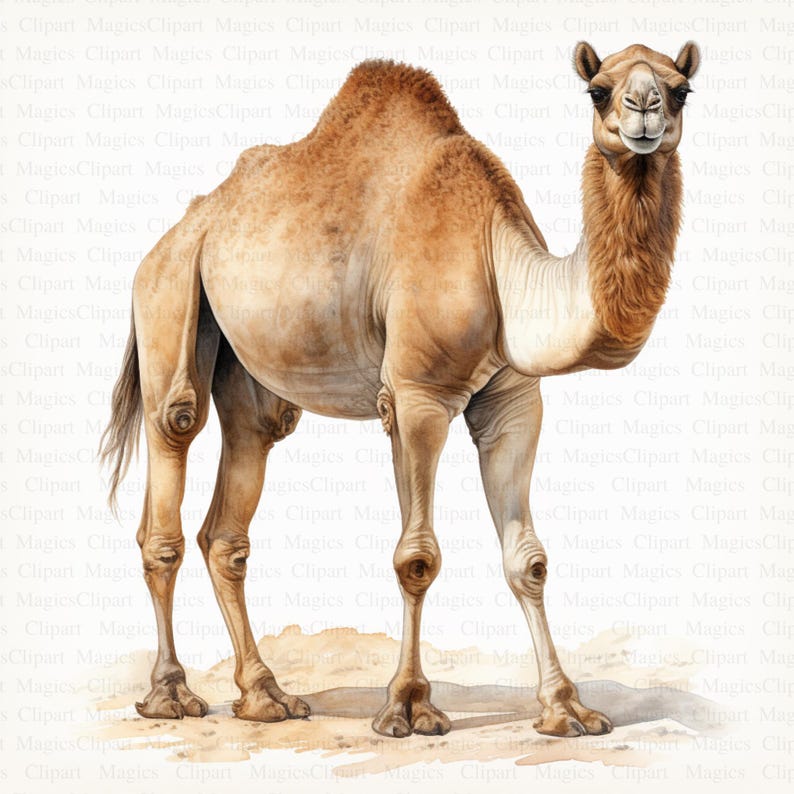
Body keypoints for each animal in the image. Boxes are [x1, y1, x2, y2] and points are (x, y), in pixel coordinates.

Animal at [100, 41, 700, 739]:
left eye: (681, 88)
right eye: (598, 90)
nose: (644, 109)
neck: (496, 258)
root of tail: (173, 235)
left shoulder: (513, 401)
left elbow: (528, 560)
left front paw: (565, 708)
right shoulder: (415, 395)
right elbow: (417, 559)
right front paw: (409, 707)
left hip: (245, 358)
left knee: (237, 490)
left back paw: (267, 697)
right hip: (168, 293)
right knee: (174, 438)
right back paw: (170, 695)